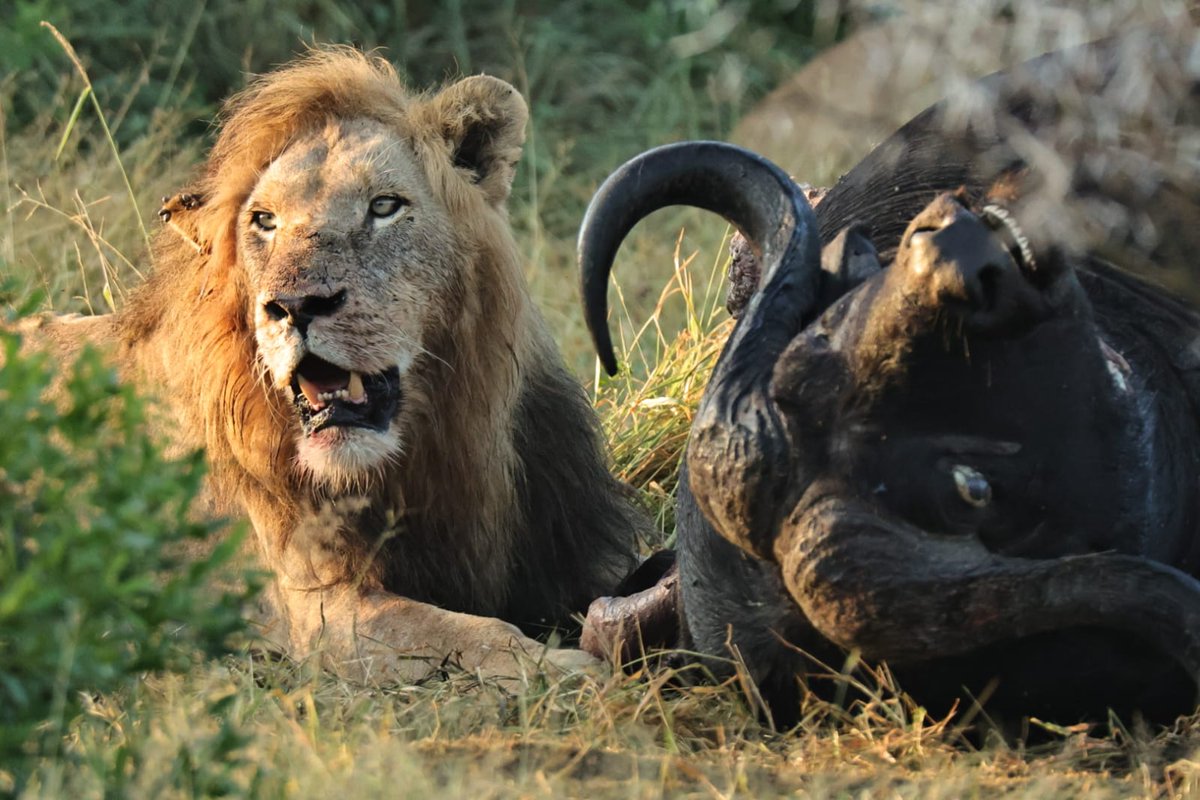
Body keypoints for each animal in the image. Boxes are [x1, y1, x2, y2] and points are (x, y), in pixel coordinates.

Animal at [22, 47, 642, 684]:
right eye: (264, 220)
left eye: (385, 207)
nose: (294, 306)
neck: (424, 451)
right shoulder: (320, 609)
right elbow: (475, 633)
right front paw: (569, 669)